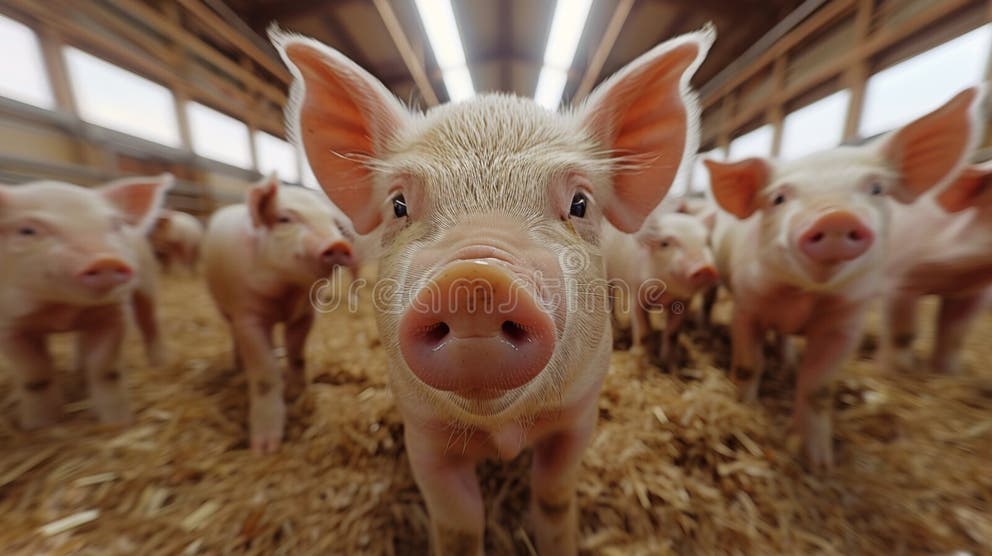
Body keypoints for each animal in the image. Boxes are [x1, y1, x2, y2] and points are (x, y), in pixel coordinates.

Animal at [0, 175, 172, 428]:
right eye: (27, 230)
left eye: (115, 225)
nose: (106, 260)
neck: (63, 310)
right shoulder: (9, 327)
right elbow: (35, 375)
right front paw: (40, 426)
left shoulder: (114, 315)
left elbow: (105, 369)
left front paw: (117, 423)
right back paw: (78, 369)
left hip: (148, 282)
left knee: (150, 322)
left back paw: (160, 364)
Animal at [202, 175, 357, 454]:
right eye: (285, 219)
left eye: (334, 225)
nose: (339, 244)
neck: (287, 292)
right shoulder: (247, 316)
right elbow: (265, 372)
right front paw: (265, 449)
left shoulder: (307, 314)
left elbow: (298, 355)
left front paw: (297, 394)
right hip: (225, 308)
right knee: (235, 337)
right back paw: (238, 368)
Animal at [603, 210, 718, 369]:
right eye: (664, 244)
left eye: (707, 241)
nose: (705, 268)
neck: (666, 293)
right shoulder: (635, 291)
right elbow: (643, 331)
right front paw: (640, 357)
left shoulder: (683, 301)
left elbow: (672, 333)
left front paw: (670, 363)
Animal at [879, 163, 992, 374]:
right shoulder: (897, 280)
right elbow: (903, 333)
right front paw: (897, 371)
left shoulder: (973, 293)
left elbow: (955, 335)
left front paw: (948, 373)